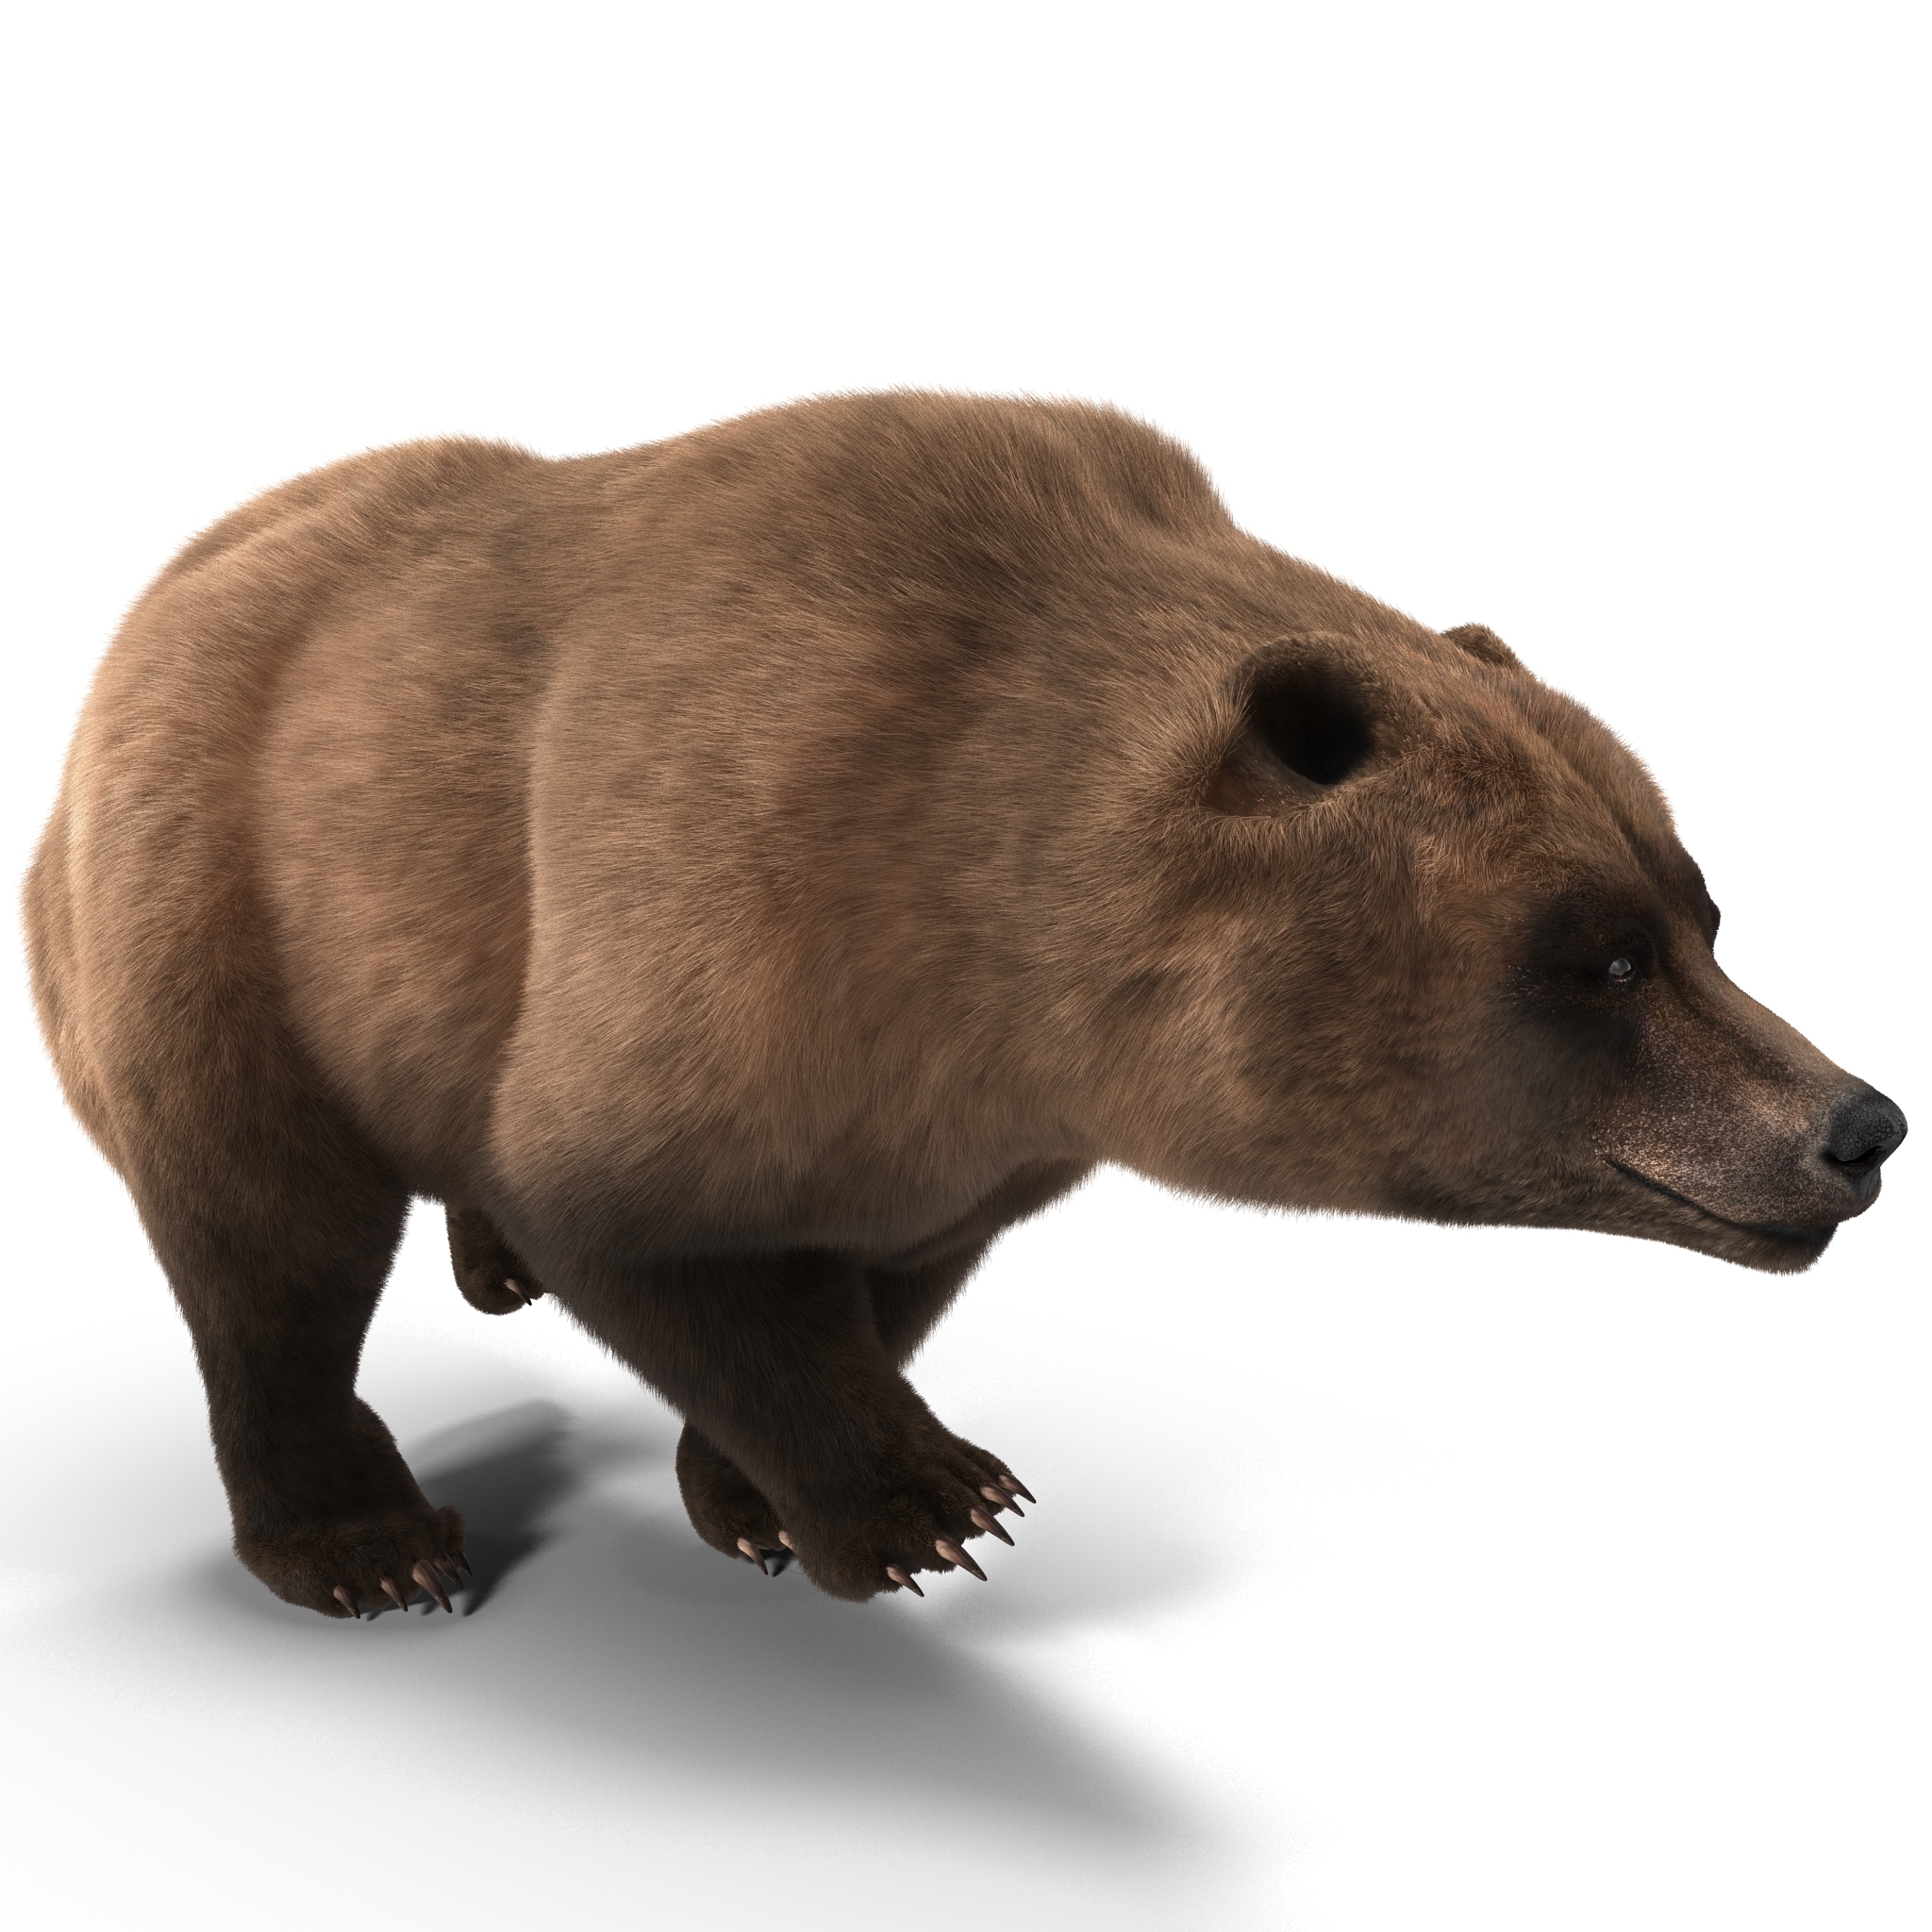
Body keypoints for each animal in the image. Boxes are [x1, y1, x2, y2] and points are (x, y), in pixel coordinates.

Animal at [23, 392, 1906, 1618]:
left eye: (1699, 910)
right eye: (1598, 955)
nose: (1857, 1124)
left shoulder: (971, 1105)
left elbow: (894, 1264)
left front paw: (765, 1496)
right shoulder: (735, 884)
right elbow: (643, 1216)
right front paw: (924, 1504)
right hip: (225, 895)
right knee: (269, 1234)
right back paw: (368, 1541)